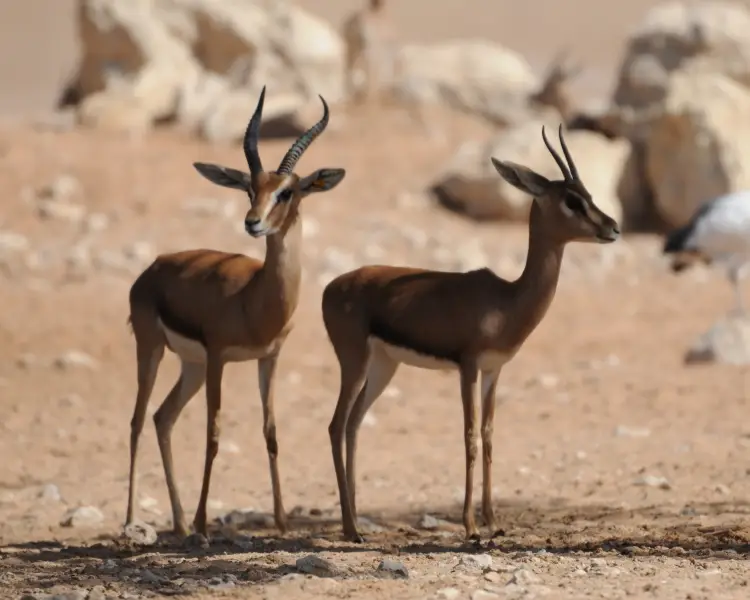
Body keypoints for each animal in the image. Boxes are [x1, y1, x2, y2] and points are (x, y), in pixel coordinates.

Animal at [125, 86, 346, 539]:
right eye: (249, 189)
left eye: (286, 191)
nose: (252, 222)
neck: (254, 299)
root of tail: (152, 268)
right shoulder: (218, 358)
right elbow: (213, 435)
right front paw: (204, 524)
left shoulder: (269, 358)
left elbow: (270, 432)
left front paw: (281, 522)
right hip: (152, 350)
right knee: (137, 421)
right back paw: (134, 521)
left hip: (189, 366)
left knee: (162, 418)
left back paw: (178, 524)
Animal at [323, 126, 620, 543]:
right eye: (571, 200)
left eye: (589, 195)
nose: (612, 227)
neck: (506, 300)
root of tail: (331, 286)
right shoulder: (468, 367)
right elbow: (470, 437)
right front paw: (471, 525)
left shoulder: (495, 370)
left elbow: (490, 434)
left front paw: (493, 520)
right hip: (354, 362)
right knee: (336, 425)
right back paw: (351, 530)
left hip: (383, 366)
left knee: (353, 424)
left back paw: (356, 522)